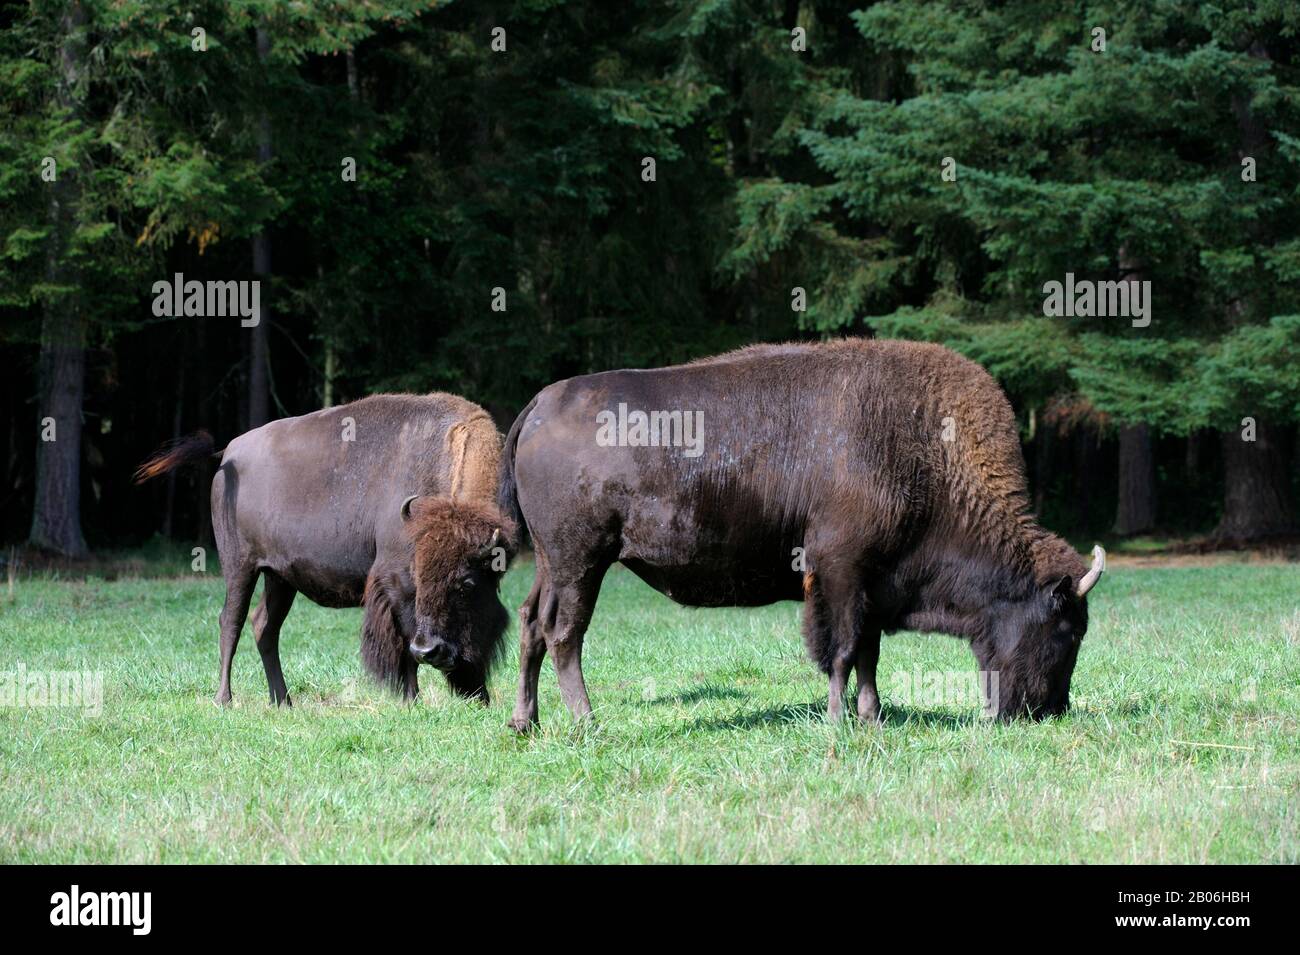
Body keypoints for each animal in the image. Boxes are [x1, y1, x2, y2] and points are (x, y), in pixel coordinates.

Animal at [136, 393, 515, 706]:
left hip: (279, 577)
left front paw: (480, 697)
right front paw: (412, 699)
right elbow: (403, 638)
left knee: (264, 626)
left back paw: (283, 701)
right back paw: (224, 699)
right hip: (239, 566)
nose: (431, 650)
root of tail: (228, 452)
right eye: (421, 579)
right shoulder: (396, 582)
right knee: (231, 621)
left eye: (467, 583)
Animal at [499, 338, 1104, 729]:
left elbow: (867, 653)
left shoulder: (871, 584)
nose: (1051, 711)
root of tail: (540, 405)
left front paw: (873, 719)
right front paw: (839, 722)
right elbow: (840, 649)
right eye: (1067, 629)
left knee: (531, 622)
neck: (925, 454)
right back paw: (587, 724)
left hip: (553, 562)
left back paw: (525, 723)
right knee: (564, 633)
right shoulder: (838, 572)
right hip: (582, 560)